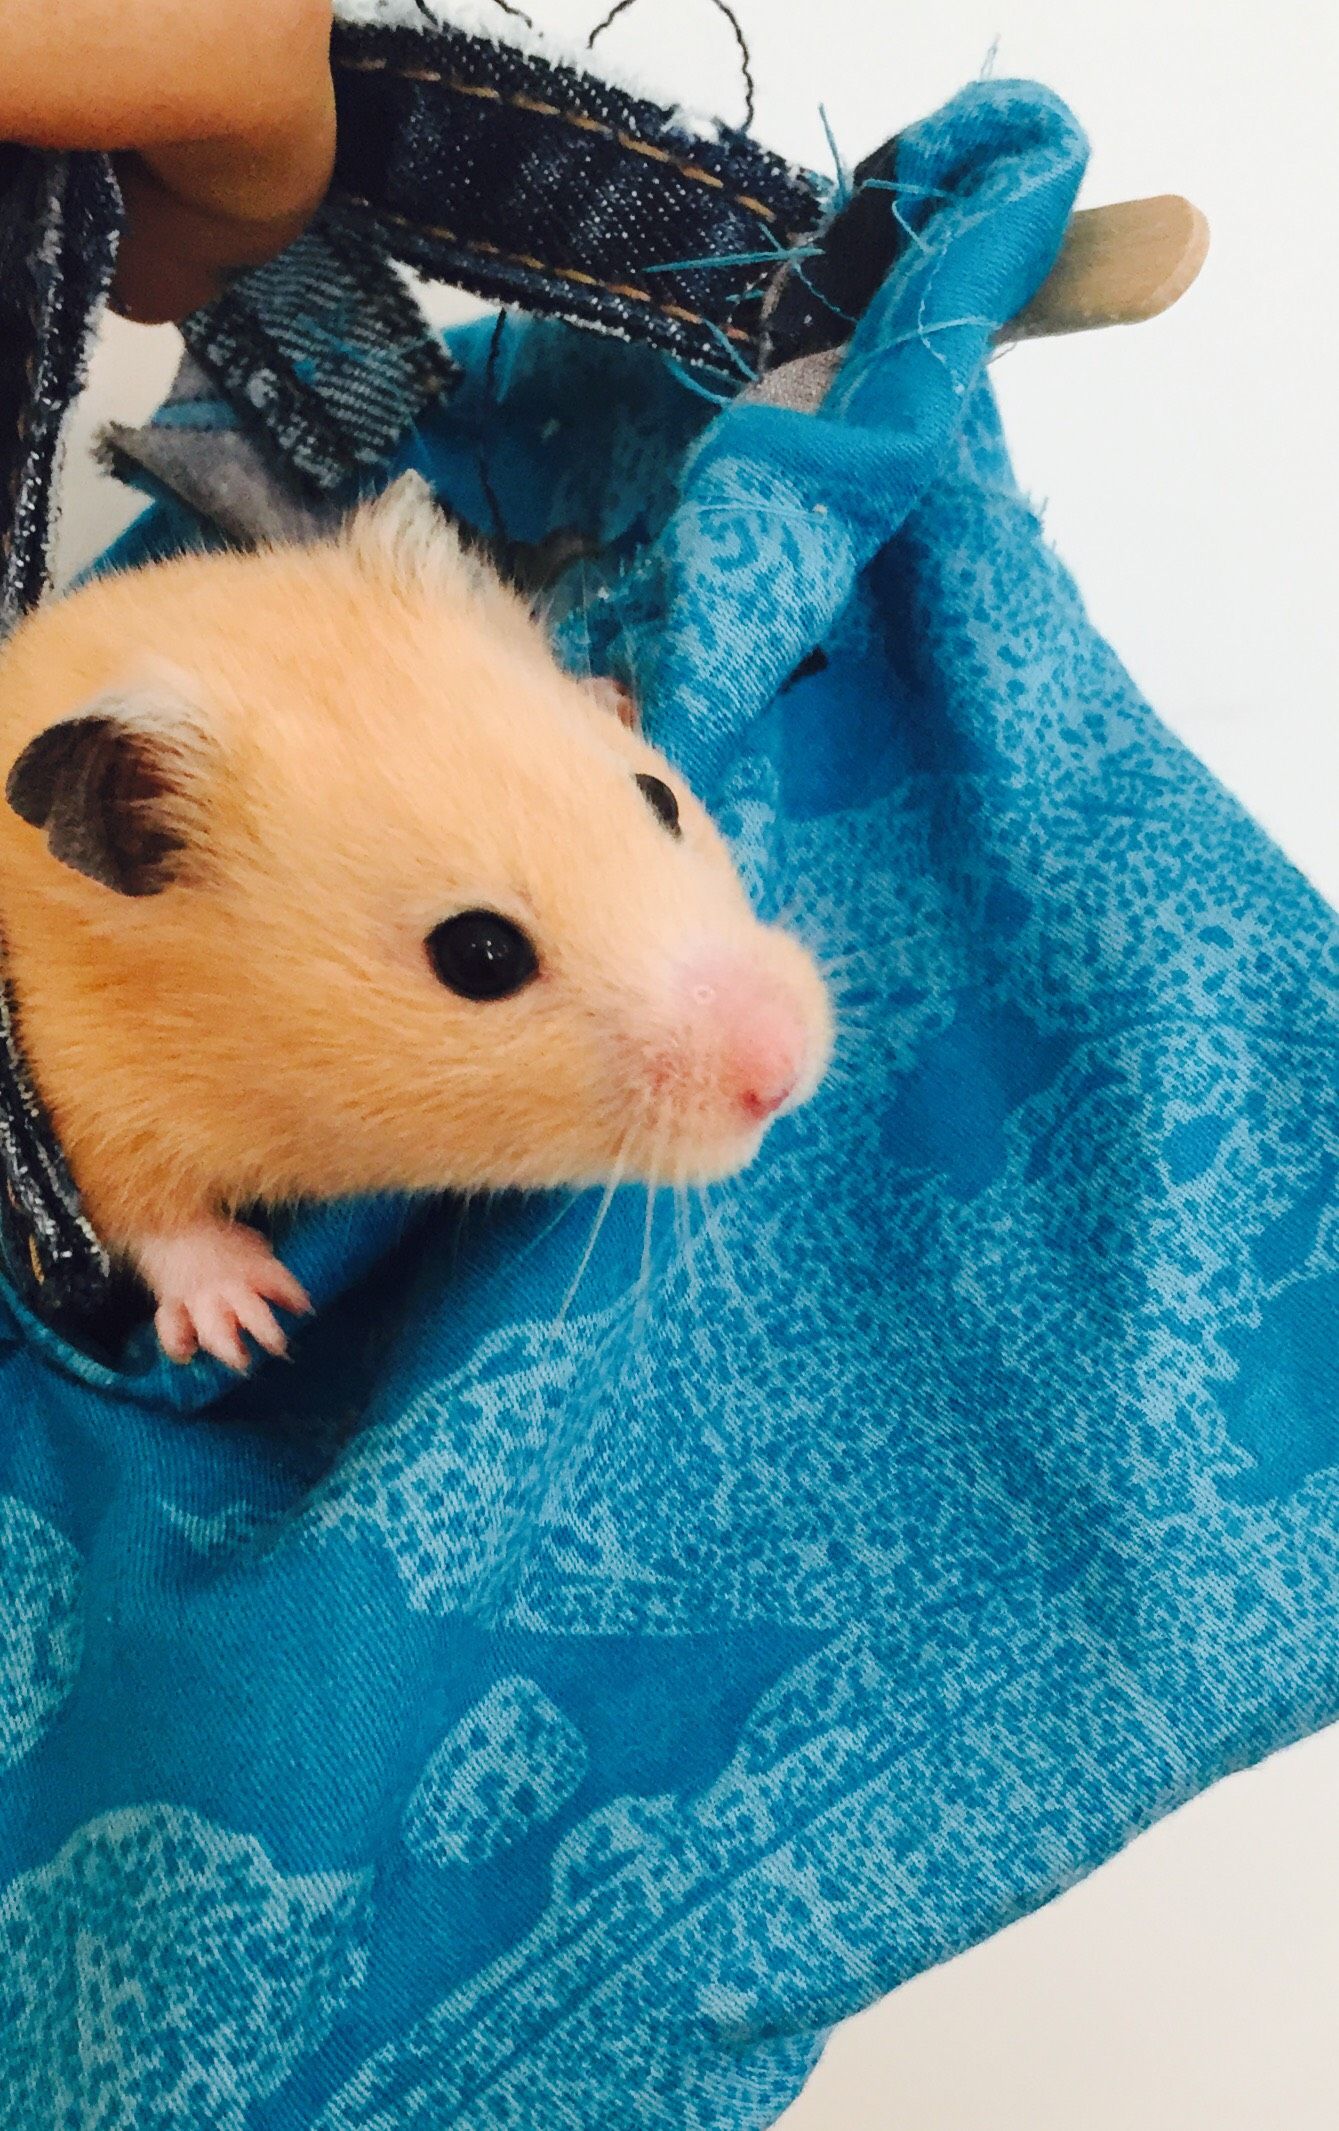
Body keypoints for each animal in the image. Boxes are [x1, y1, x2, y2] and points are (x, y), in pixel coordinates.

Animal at [0, 476, 831, 1372]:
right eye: (480, 956)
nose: (785, 1070)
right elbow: (150, 1215)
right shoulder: (78, 1086)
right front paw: (256, 1325)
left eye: (660, 797)